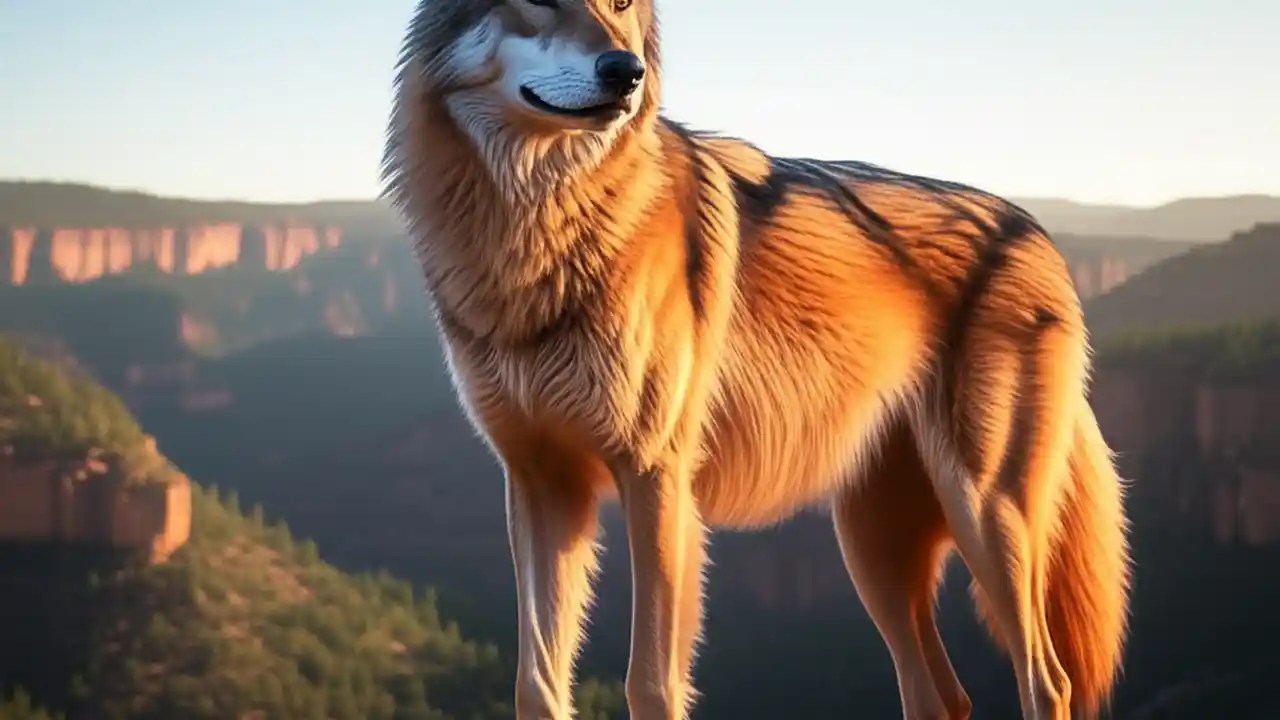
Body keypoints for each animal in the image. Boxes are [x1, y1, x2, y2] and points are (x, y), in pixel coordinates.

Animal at [381, 2, 1131, 719]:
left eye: (619, 6)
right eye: (539, 1)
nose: (627, 73)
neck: (544, 225)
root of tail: (1040, 236)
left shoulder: (656, 479)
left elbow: (649, 685)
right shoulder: (541, 484)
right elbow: (535, 686)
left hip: (984, 517)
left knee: (1050, 682)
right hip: (872, 549)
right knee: (942, 696)